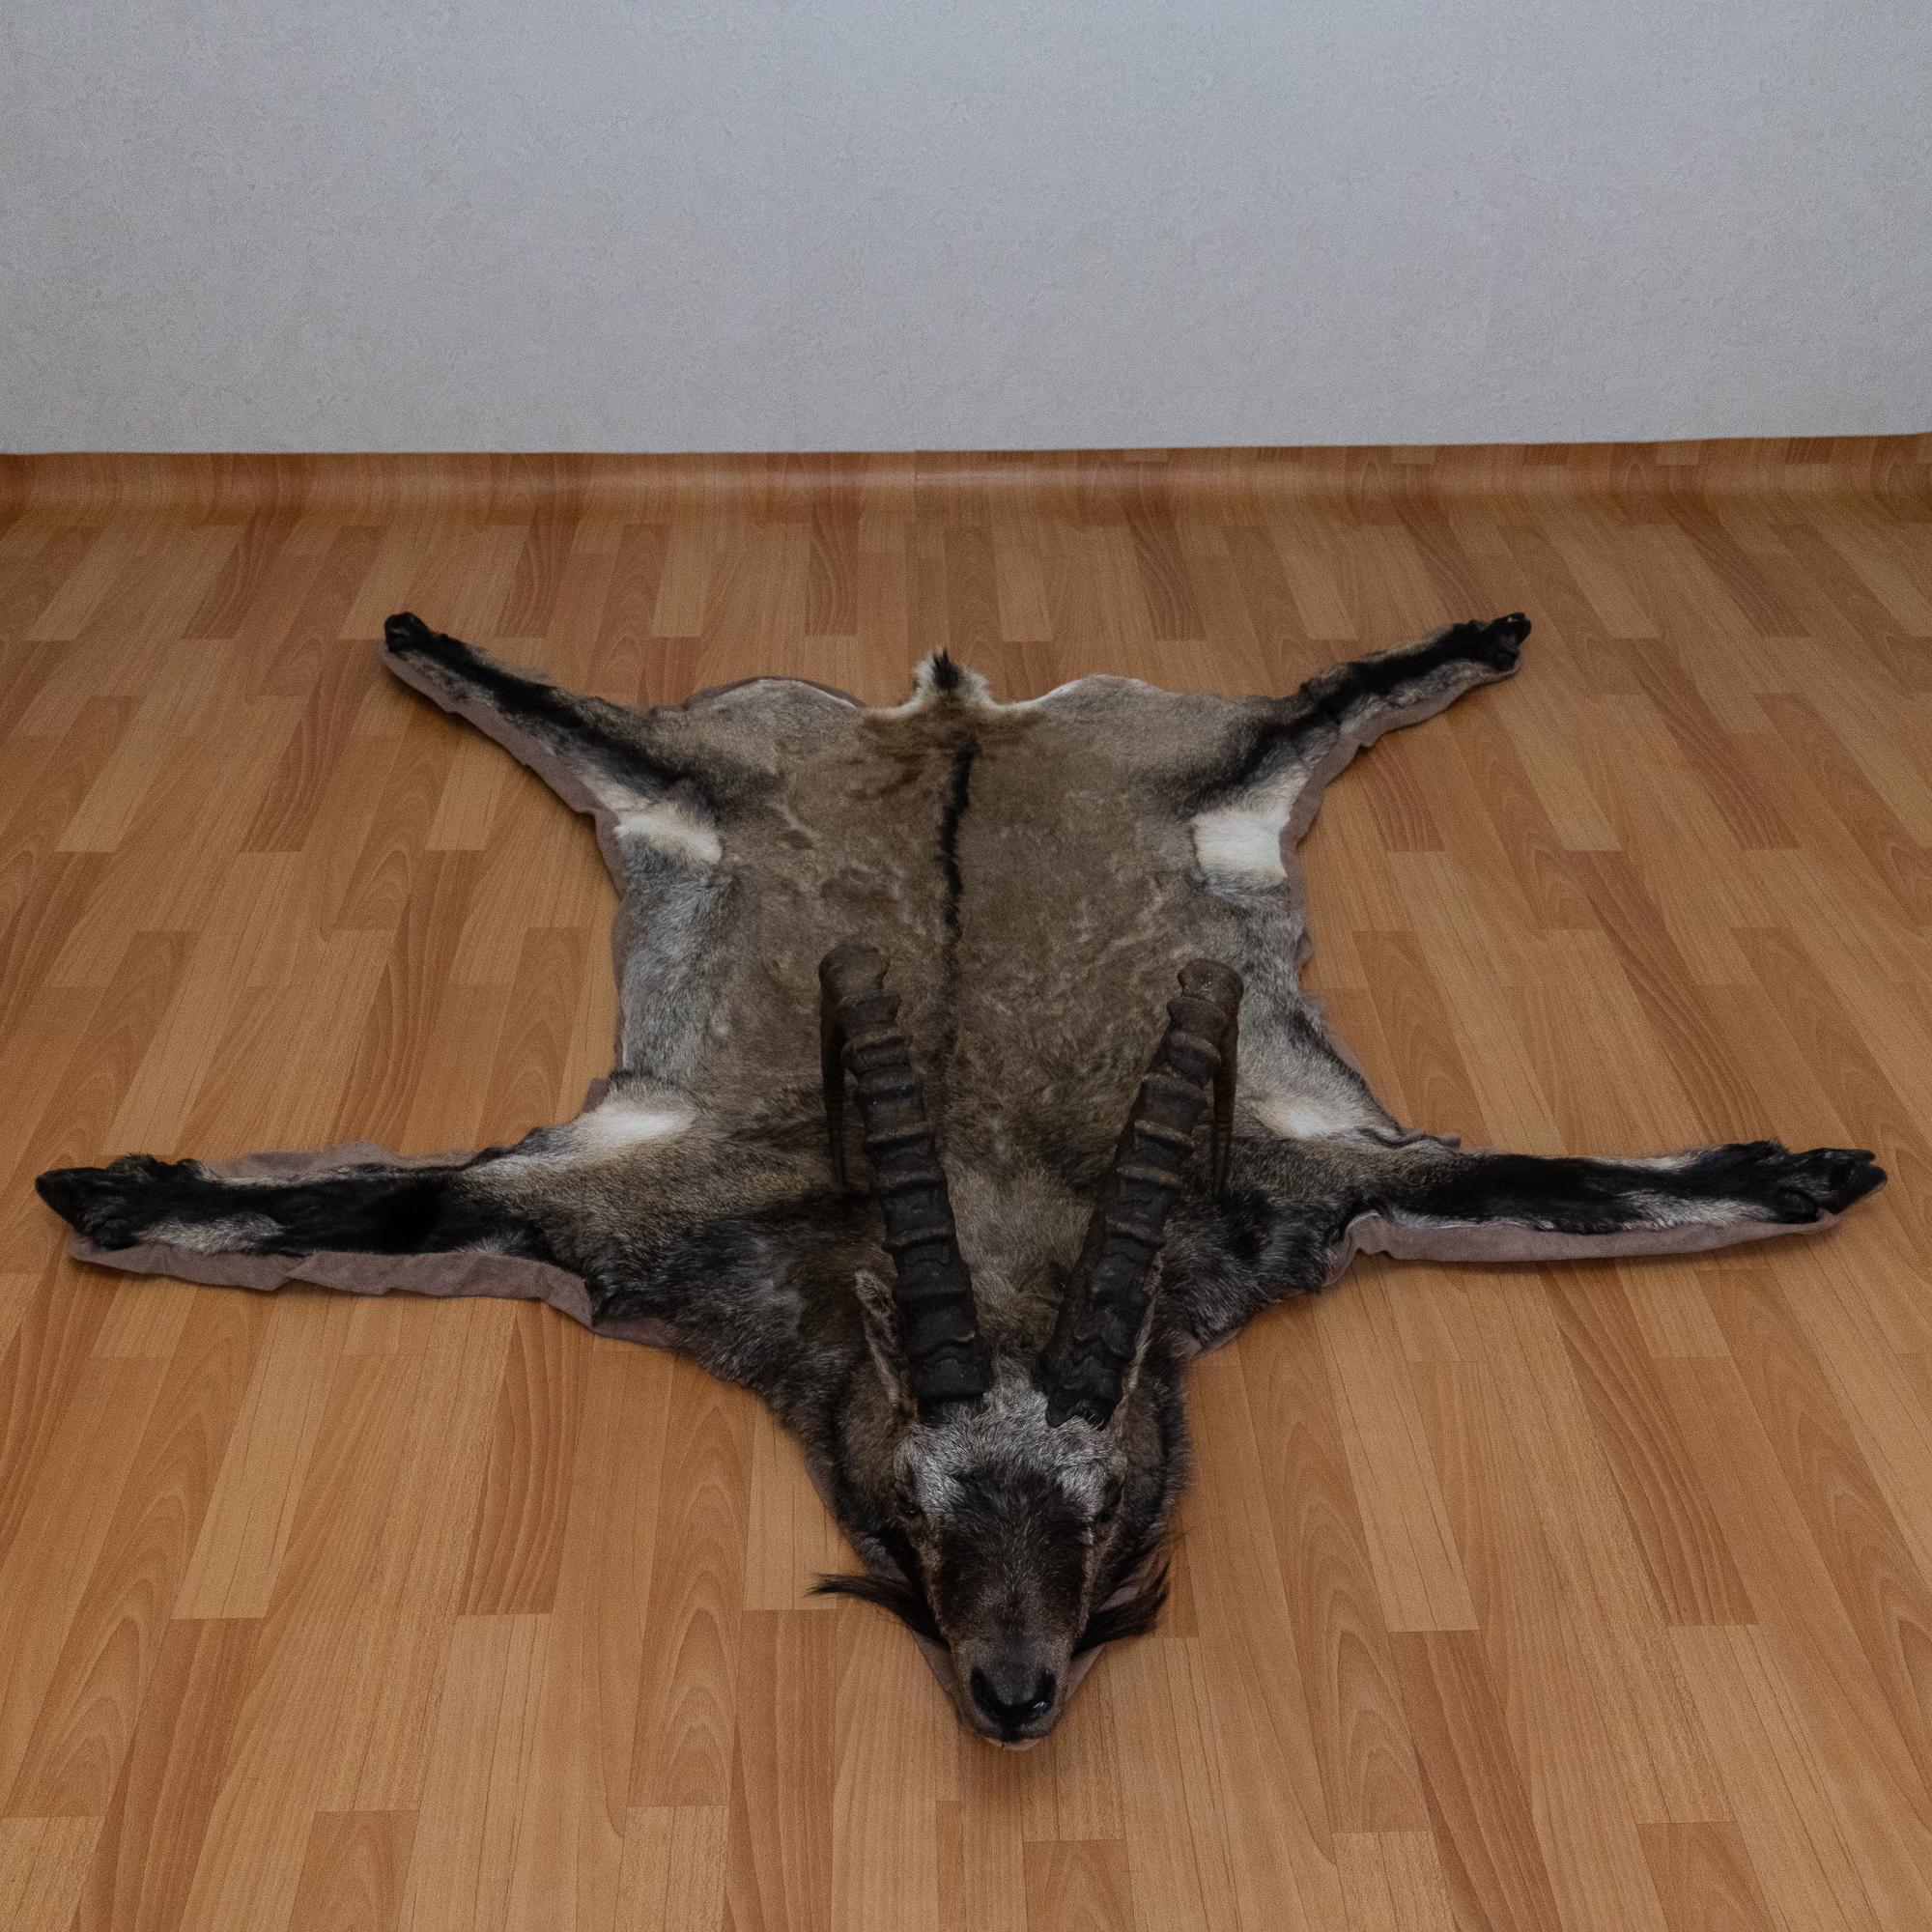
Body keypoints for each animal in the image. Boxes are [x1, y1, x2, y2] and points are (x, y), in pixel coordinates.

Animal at [37, 611, 1884, 1746]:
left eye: (1111, 1499)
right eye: (910, 1507)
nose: (1014, 1692)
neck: (999, 1229)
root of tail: (953, 713)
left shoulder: (1316, 1194)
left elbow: (1558, 1183)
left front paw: (1815, 1166)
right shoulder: (626, 1222)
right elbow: (392, 1207)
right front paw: (99, 1191)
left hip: (1176, 750)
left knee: (1302, 714)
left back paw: (1473, 639)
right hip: (725, 755)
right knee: (590, 729)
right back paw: (426, 640)